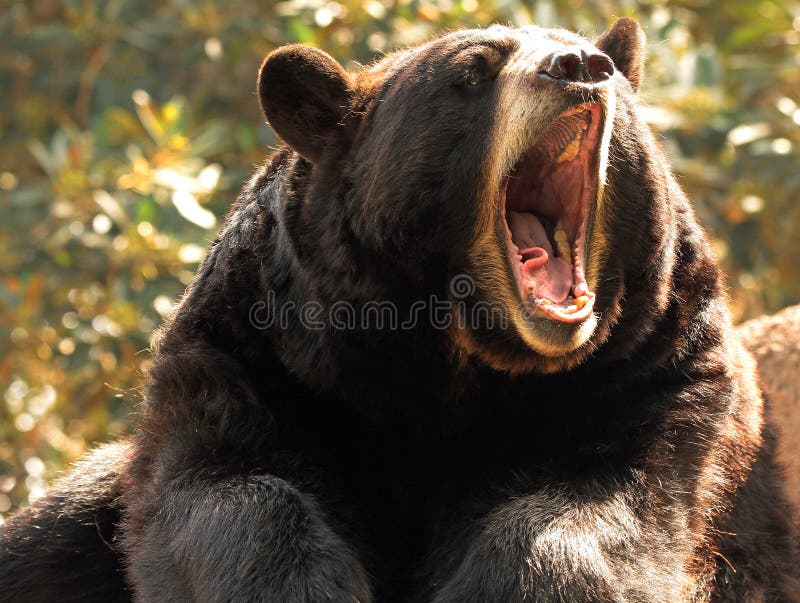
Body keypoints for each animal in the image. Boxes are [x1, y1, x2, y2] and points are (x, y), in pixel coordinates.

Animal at [1, 18, 798, 602]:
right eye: (474, 72)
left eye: (597, 59)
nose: (580, 65)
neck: (461, 361)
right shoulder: (264, 357)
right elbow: (231, 489)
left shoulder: (648, 375)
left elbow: (602, 510)